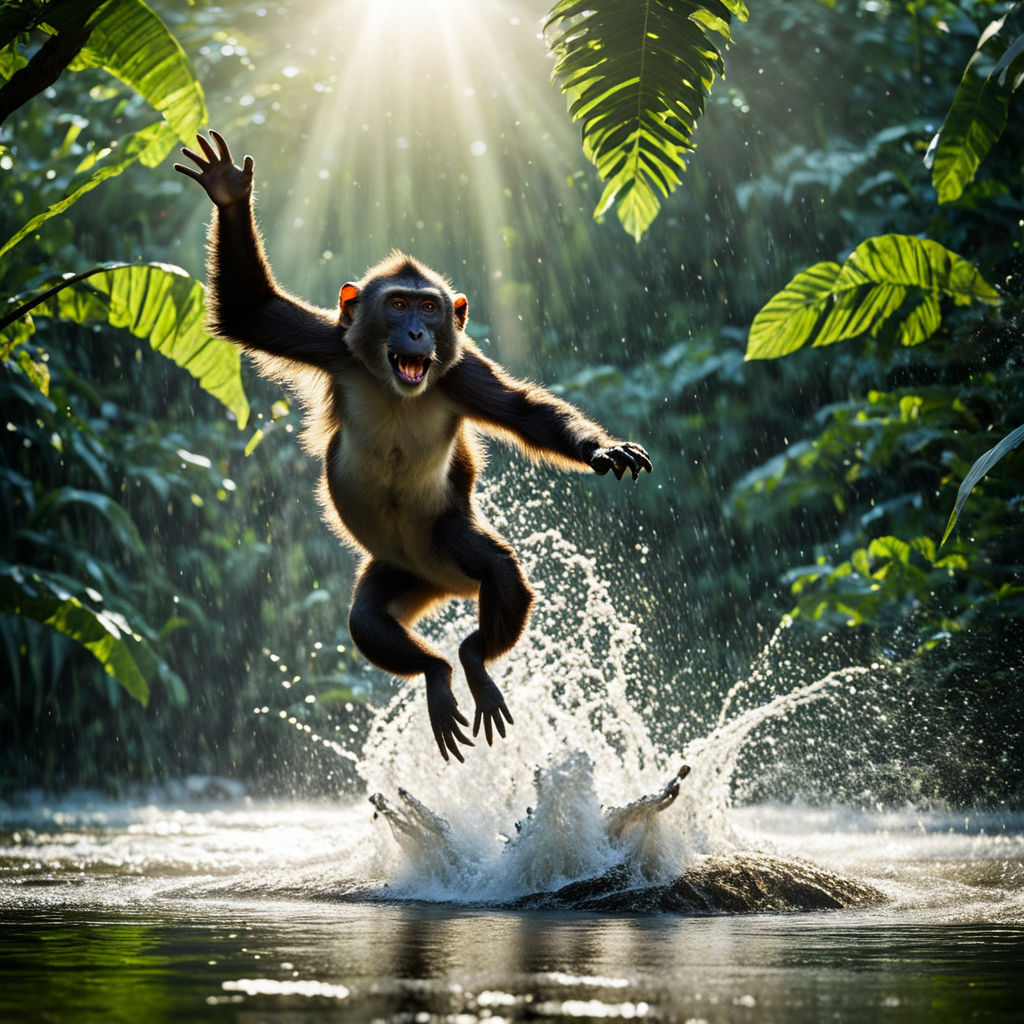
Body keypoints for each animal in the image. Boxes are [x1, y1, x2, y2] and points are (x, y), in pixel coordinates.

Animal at [174, 131, 652, 763]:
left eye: (429, 307)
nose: (417, 332)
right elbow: (251, 313)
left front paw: (603, 451)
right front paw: (229, 192)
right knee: (367, 619)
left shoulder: (461, 373)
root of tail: (444, 584)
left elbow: (526, 412)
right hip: (403, 570)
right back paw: (437, 673)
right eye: (397, 305)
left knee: (498, 570)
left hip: (445, 541)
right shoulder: (335, 345)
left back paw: (472, 657)